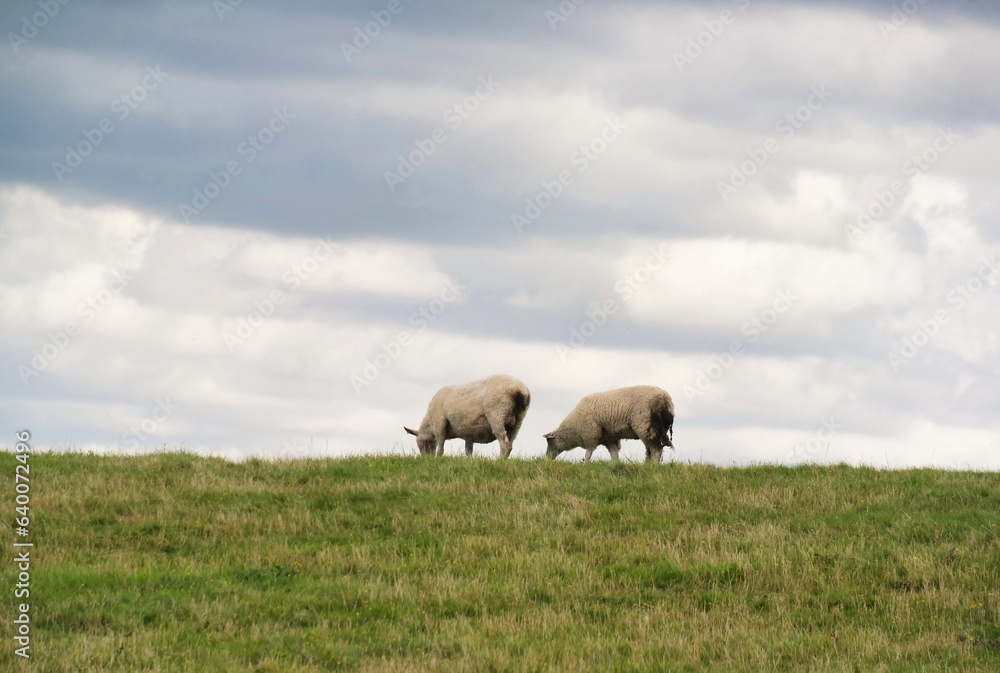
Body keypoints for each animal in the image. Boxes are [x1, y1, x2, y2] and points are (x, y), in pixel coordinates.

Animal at [544, 385, 674, 463]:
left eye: (549, 442)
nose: (546, 458)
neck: (573, 428)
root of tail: (664, 399)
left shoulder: (590, 434)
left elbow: (588, 453)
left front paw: (585, 465)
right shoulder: (609, 439)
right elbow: (614, 454)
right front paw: (615, 466)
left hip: (644, 425)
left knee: (656, 449)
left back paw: (653, 465)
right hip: (656, 429)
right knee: (650, 450)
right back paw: (647, 464)